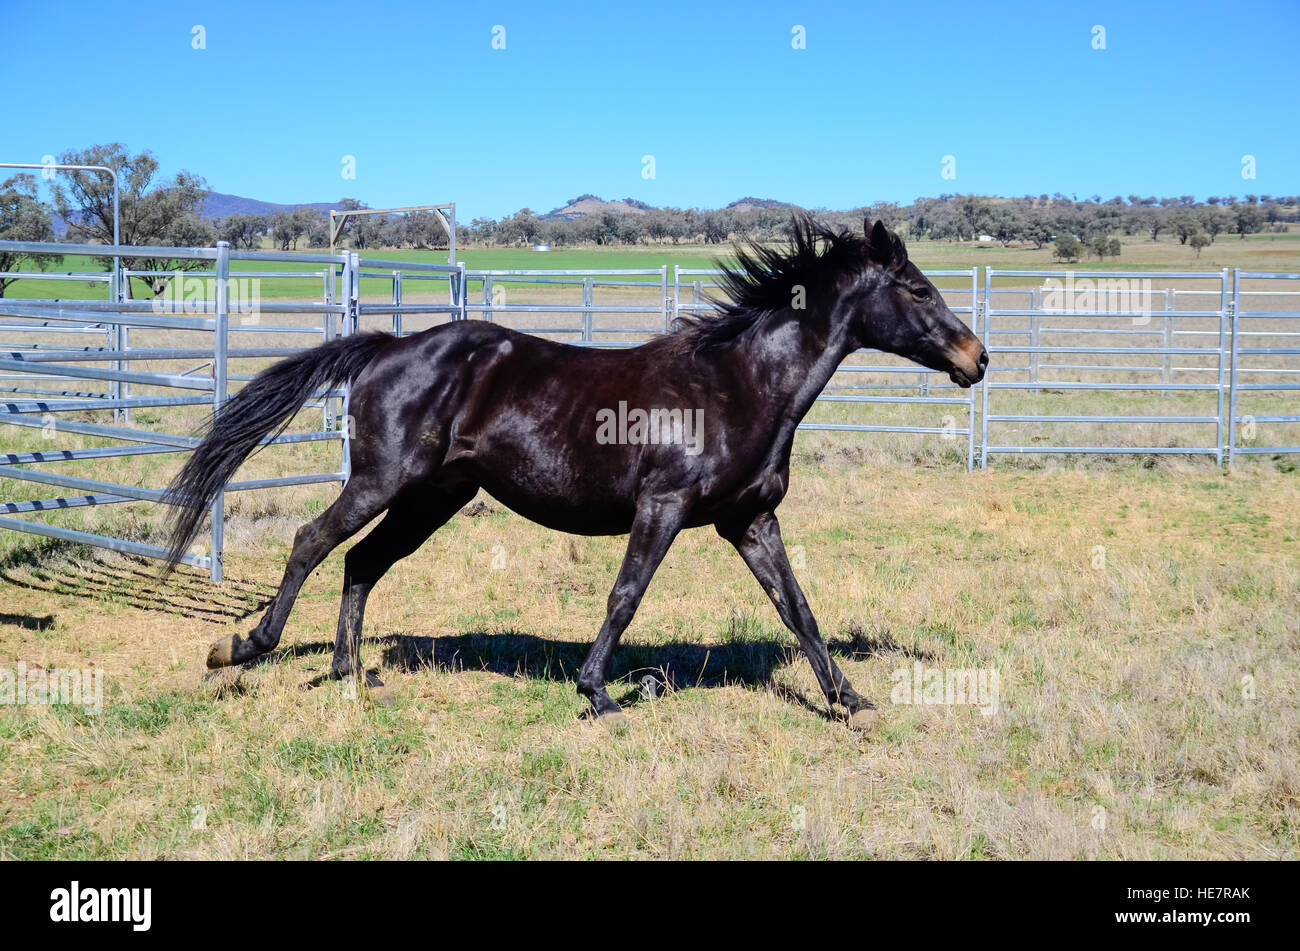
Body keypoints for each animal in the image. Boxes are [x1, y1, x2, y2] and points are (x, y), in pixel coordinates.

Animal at [162, 216, 987, 729]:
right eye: (918, 289)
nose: (977, 358)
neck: (737, 384)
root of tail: (389, 346)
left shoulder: (750, 520)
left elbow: (799, 610)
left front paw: (851, 701)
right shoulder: (663, 507)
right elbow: (626, 597)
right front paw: (597, 695)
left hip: (435, 496)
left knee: (362, 562)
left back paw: (352, 675)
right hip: (383, 481)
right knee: (313, 540)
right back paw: (239, 648)